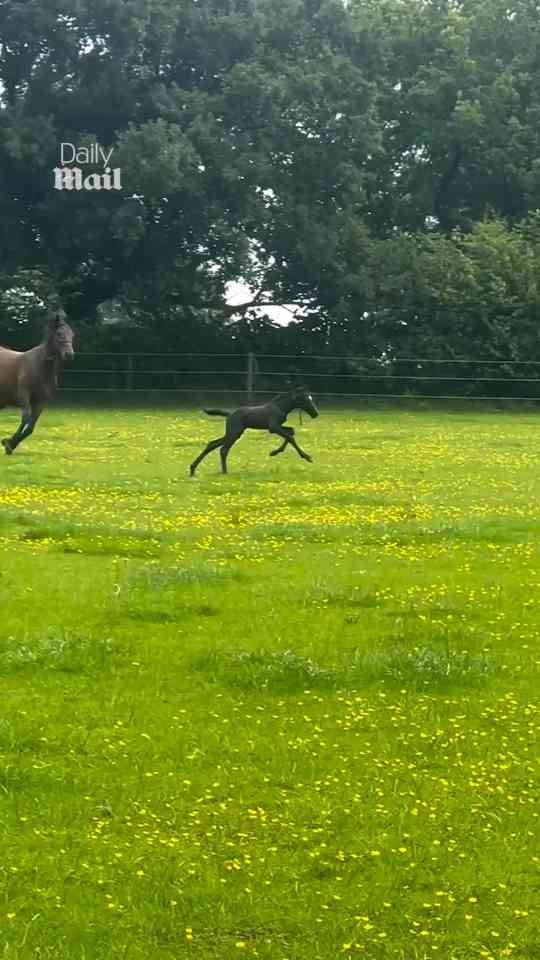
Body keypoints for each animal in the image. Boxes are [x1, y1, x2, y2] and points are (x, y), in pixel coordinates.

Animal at [0, 306, 75, 455]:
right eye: (59, 334)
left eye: (72, 334)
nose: (69, 354)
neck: (40, 366)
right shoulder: (24, 395)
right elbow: (25, 419)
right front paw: (8, 444)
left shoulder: (41, 401)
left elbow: (30, 427)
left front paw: (10, 443)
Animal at [189, 385, 319, 475]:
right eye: (305, 399)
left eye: (310, 398)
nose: (315, 413)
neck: (280, 407)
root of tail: (229, 414)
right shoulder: (273, 427)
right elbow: (290, 436)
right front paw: (307, 457)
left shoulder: (276, 427)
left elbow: (291, 431)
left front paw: (275, 452)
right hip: (234, 433)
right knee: (223, 449)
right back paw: (224, 471)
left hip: (234, 433)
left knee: (212, 444)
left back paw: (192, 470)